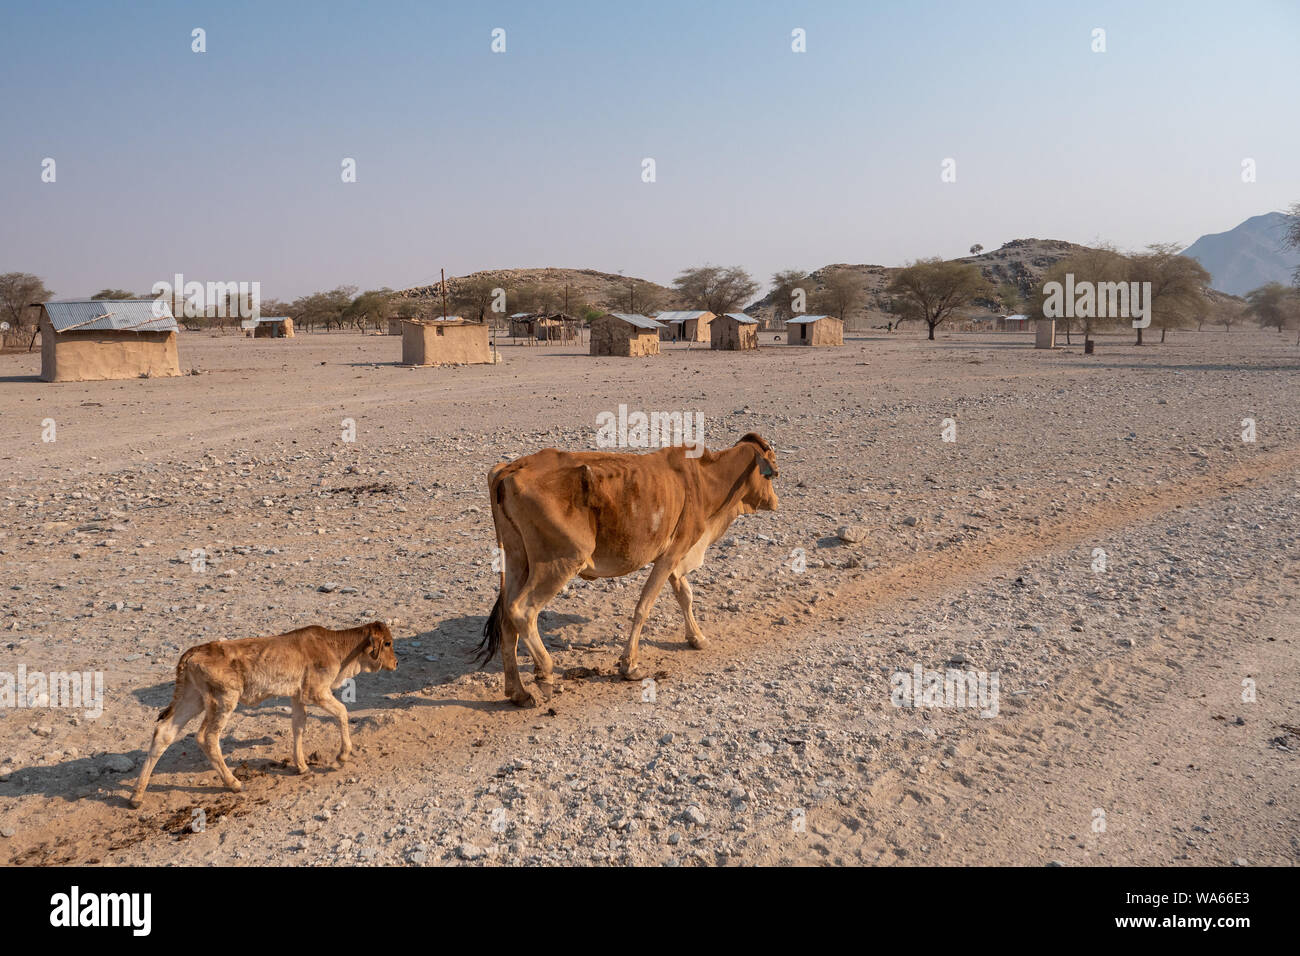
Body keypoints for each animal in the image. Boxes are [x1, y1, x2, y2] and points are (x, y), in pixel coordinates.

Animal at [129, 621, 397, 808]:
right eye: (387, 643)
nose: (396, 664)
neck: (335, 648)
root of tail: (194, 651)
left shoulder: (298, 696)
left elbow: (299, 725)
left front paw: (302, 766)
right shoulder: (316, 692)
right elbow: (342, 712)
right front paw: (342, 755)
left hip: (192, 698)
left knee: (164, 733)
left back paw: (136, 796)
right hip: (222, 700)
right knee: (207, 737)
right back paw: (234, 784)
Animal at [479, 432, 779, 706]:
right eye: (770, 473)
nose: (775, 501)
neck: (705, 479)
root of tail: (509, 469)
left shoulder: (675, 559)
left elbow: (685, 596)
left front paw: (697, 638)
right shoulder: (671, 555)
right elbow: (644, 607)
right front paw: (630, 665)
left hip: (516, 560)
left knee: (507, 619)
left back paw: (517, 692)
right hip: (560, 562)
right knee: (522, 610)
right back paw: (545, 673)